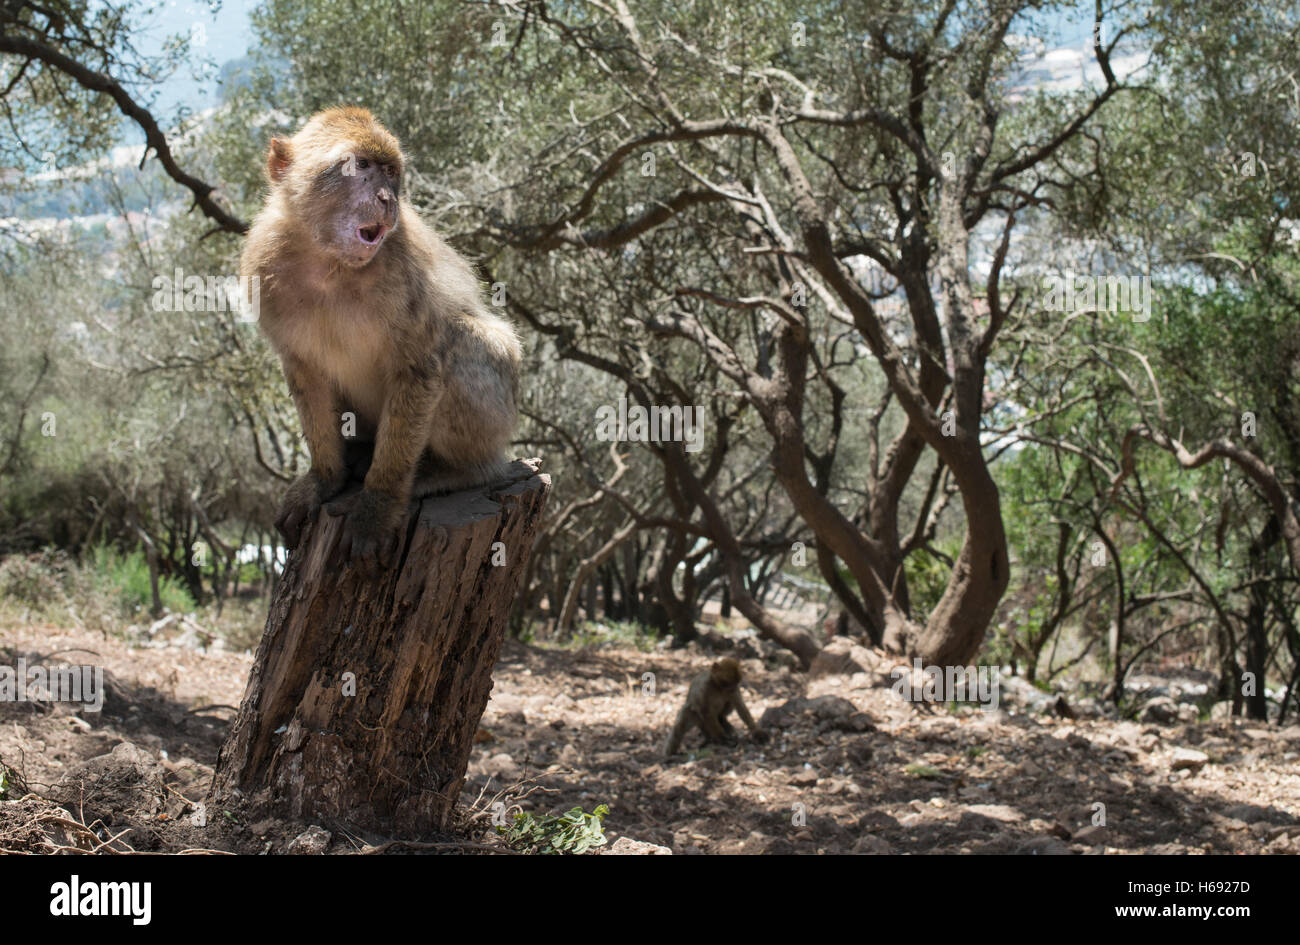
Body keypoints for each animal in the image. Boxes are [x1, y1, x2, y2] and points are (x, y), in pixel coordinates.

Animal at [241, 107, 520, 568]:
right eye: (361, 166)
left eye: (391, 172)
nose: (388, 199)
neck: (330, 263)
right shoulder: (262, 267)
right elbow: (306, 374)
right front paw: (324, 479)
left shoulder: (405, 274)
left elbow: (421, 366)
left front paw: (378, 505)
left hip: (499, 416)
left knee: (463, 342)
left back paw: (459, 470)